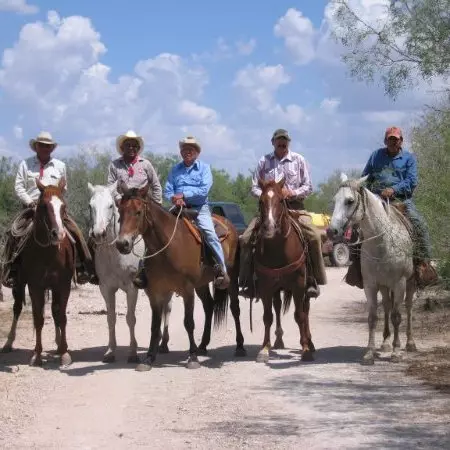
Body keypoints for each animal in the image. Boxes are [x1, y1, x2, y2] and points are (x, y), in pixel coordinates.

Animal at [1, 178, 74, 368]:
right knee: (17, 308)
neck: (48, 253)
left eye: (64, 206)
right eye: (43, 206)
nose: (58, 234)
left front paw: (64, 353)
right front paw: (37, 355)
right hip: (19, 284)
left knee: (55, 311)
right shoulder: (35, 287)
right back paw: (8, 343)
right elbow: (38, 319)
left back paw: (58, 344)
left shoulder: (63, 285)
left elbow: (61, 316)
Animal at [114, 181, 244, 370]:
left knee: (235, 308)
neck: (168, 247)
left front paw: (192, 358)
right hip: (201, 284)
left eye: (138, 212)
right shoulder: (154, 292)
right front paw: (149, 358)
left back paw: (240, 346)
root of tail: (229, 225)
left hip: (232, 279)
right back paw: (203, 345)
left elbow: (188, 322)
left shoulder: (187, 289)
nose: (122, 244)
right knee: (209, 306)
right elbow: (155, 326)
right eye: (120, 211)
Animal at [253, 178, 312, 364]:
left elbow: (299, 316)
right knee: (278, 307)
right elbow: (267, 316)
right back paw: (278, 340)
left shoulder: (299, 285)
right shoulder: (265, 286)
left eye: (280, 200)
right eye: (261, 201)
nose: (269, 227)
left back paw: (310, 343)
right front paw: (264, 348)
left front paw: (306, 349)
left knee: (305, 310)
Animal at [326, 173, 418, 366]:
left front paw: (396, 352)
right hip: (384, 286)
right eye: (334, 200)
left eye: (350, 201)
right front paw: (369, 353)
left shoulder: (399, 283)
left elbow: (397, 316)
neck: (382, 242)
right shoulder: (371, 285)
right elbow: (372, 317)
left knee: (408, 307)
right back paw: (385, 343)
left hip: (410, 283)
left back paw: (410, 343)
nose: (331, 231)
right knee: (388, 305)